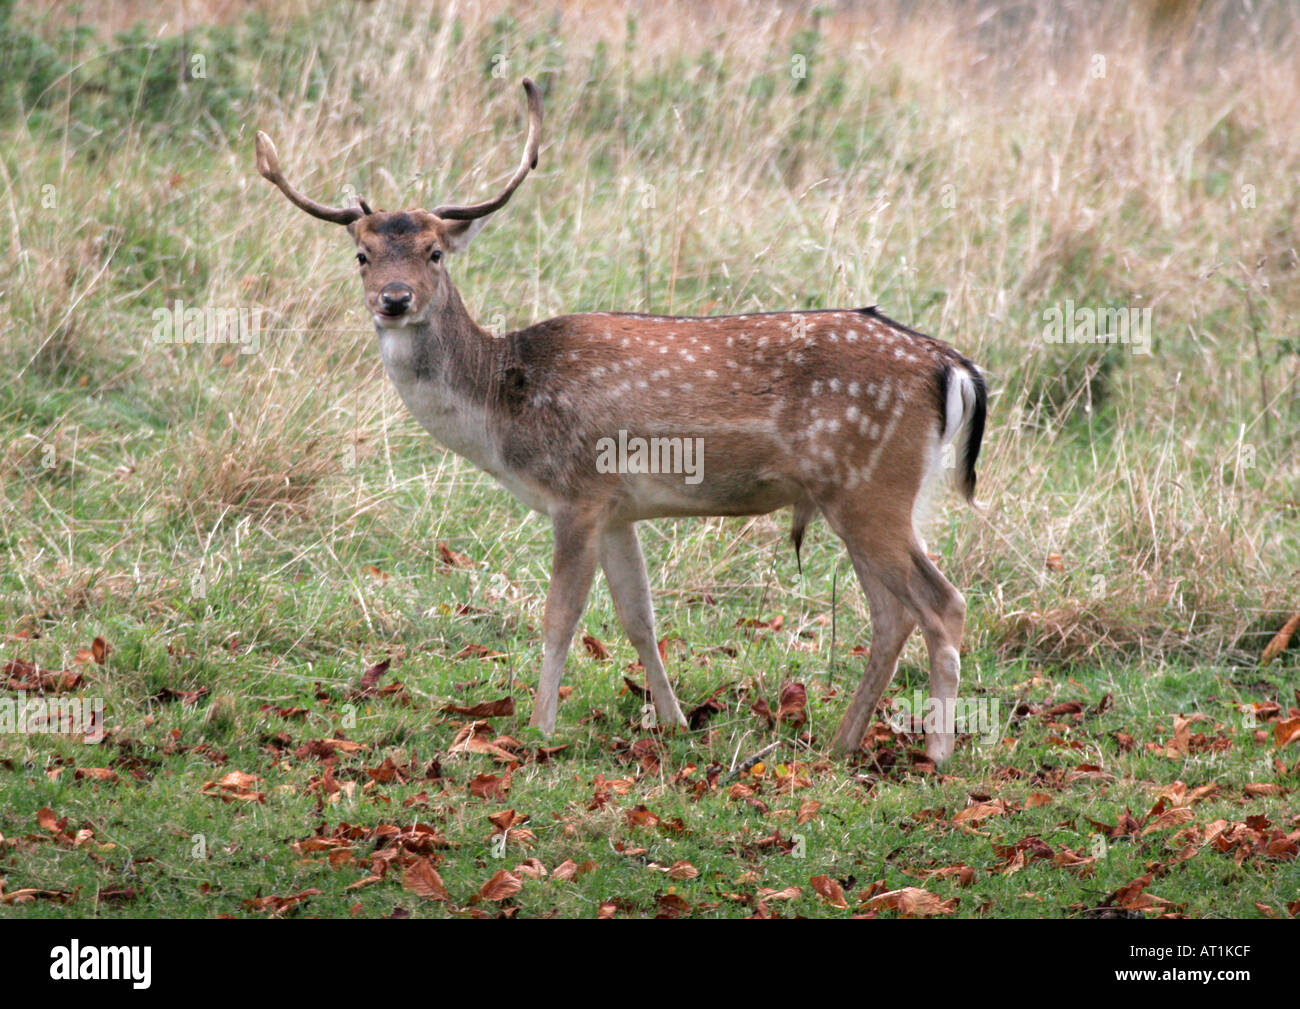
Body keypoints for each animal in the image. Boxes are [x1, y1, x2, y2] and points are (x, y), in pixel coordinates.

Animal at [255, 78, 987, 763]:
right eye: (362, 255)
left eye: (435, 252)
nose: (395, 298)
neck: (502, 408)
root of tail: (951, 365)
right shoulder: (617, 508)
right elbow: (638, 617)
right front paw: (676, 722)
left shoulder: (576, 492)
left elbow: (560, 616)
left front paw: (538, 728)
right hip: (869, 494)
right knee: (892, 613)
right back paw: (842, 742)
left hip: (872, 485)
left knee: (941, 603)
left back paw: (937, 750)